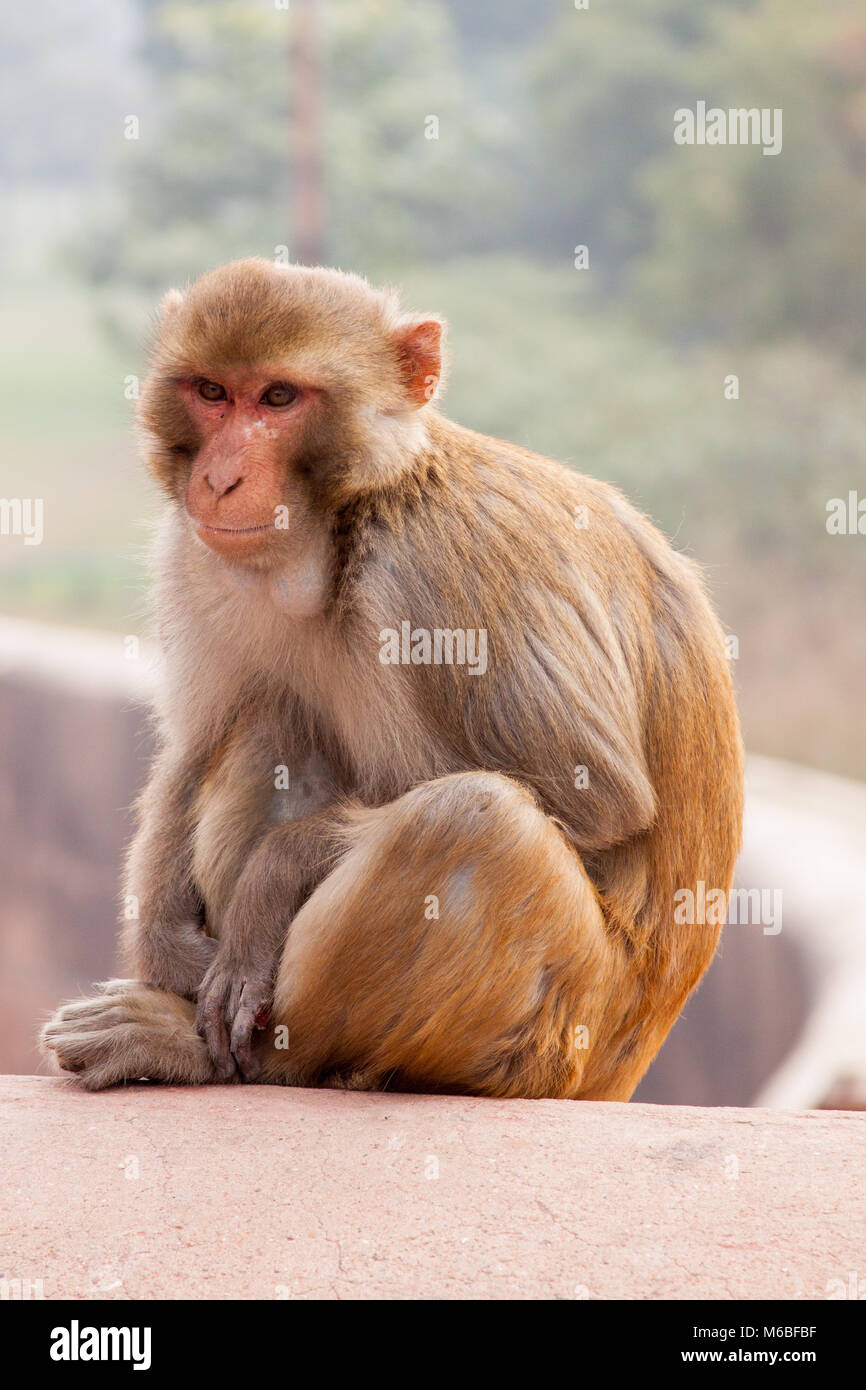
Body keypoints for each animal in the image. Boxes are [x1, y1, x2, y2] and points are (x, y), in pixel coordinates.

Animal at [41, 257, 743, 1100]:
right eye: (212, 392)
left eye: (279, 398)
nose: (219, 479)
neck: (342, 525)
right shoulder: (194, 554)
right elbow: (195, 746)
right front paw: (163, 940)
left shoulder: (436, 566)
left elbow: (599, 800)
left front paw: (276, 875)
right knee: (272, 720)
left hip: (559, 1034)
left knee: (473, 823)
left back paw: (231, 1052)